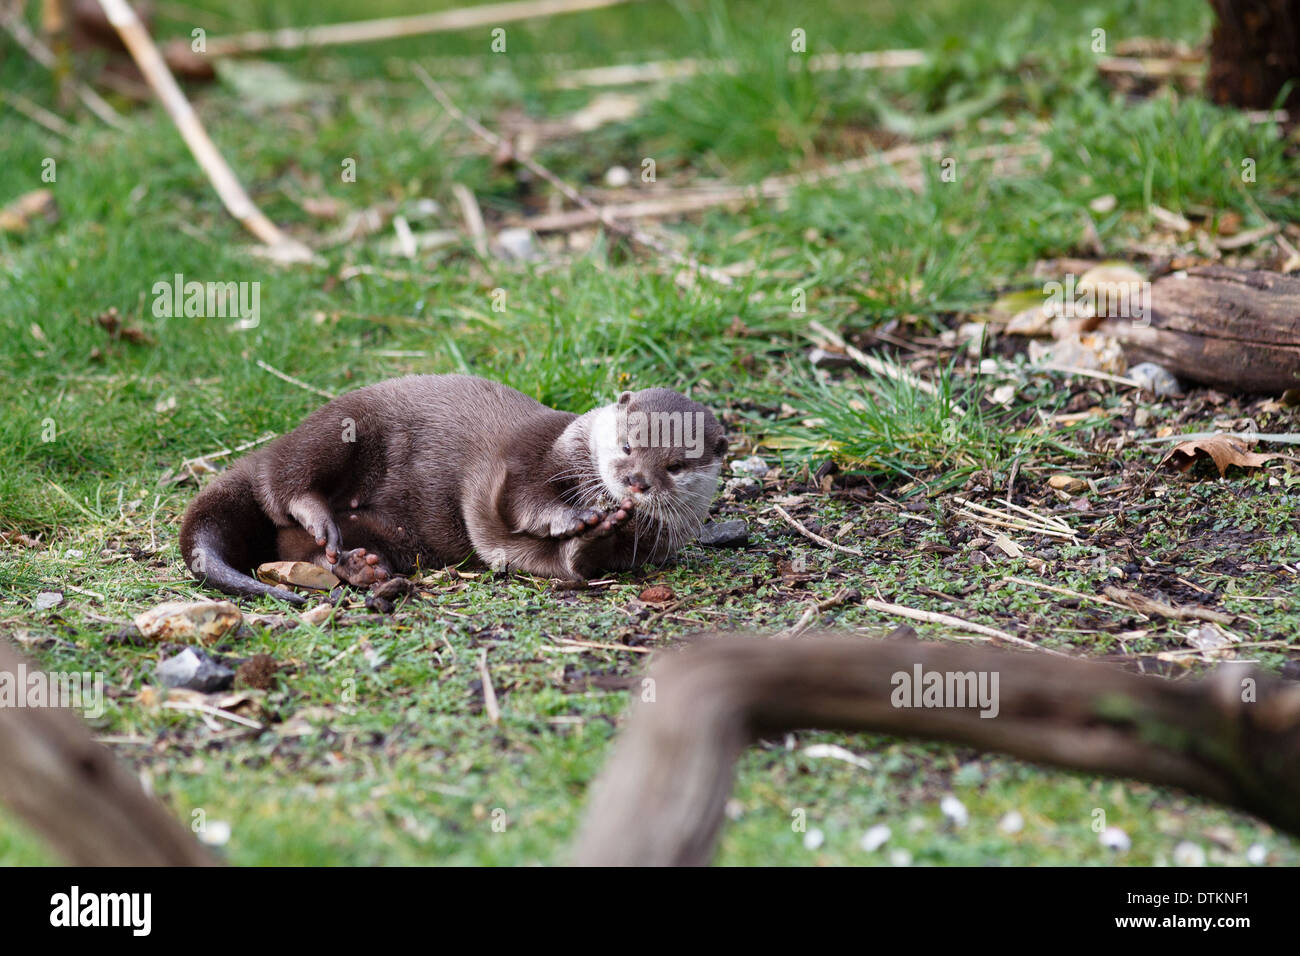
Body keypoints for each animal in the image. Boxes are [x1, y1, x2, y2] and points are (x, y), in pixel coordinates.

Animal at [179, 375, 728, 604]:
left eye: (676, 466)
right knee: (287, 483)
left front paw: (595, 533)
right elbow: (522, 503)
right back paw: (318, 514)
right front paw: (575, 517)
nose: (636, 482)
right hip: (339, 426)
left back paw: (360, 566)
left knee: (299, 545)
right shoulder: (527, 460)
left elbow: (568, 563)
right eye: (628, 445)